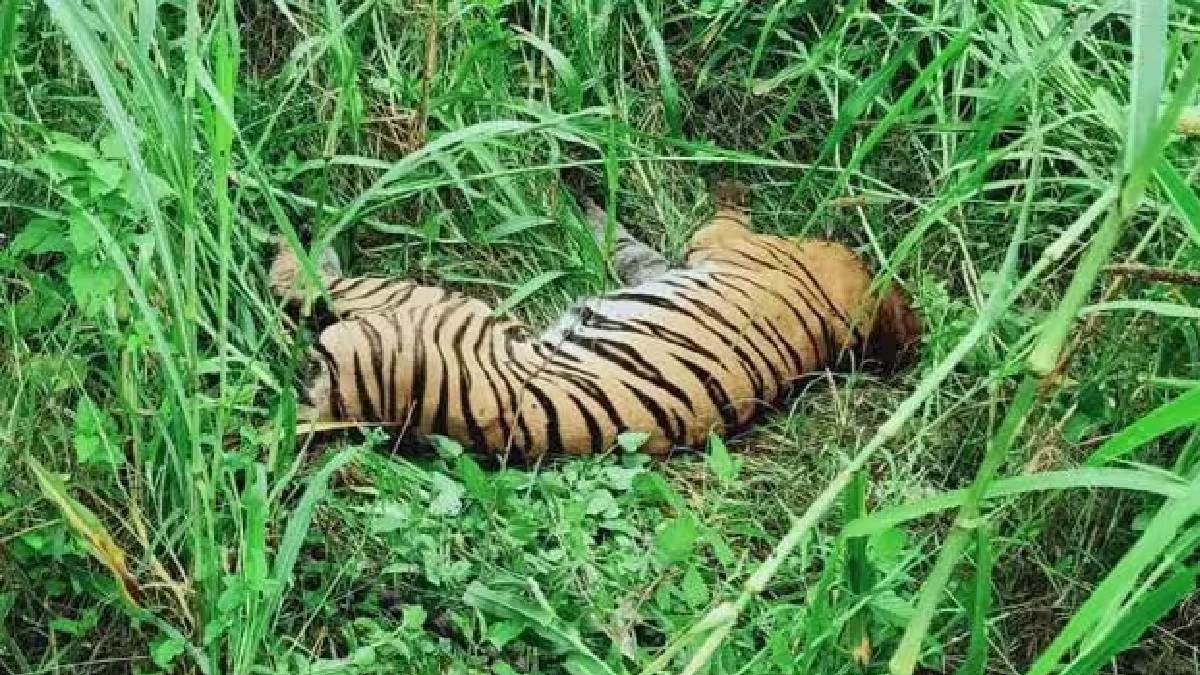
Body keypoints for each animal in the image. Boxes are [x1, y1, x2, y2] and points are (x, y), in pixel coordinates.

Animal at [270, 183, 922, 460]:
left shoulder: (719, 241)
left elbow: (701, 219)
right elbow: (633, 244)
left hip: (426, 303)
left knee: (299, 286)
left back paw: (289, 224)